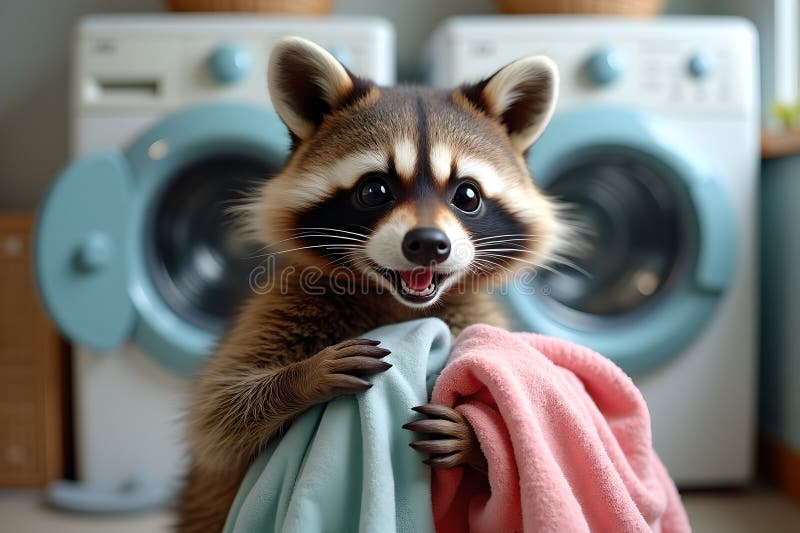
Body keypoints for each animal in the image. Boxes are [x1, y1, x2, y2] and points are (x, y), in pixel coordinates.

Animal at [176, 37, 562, 532]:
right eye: (375, 190)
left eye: (467, 195)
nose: (428, 244)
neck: (398, 300)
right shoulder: (285, 303)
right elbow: (218, 418)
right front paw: (302, 376)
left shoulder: (474, 317)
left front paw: (475, 440)